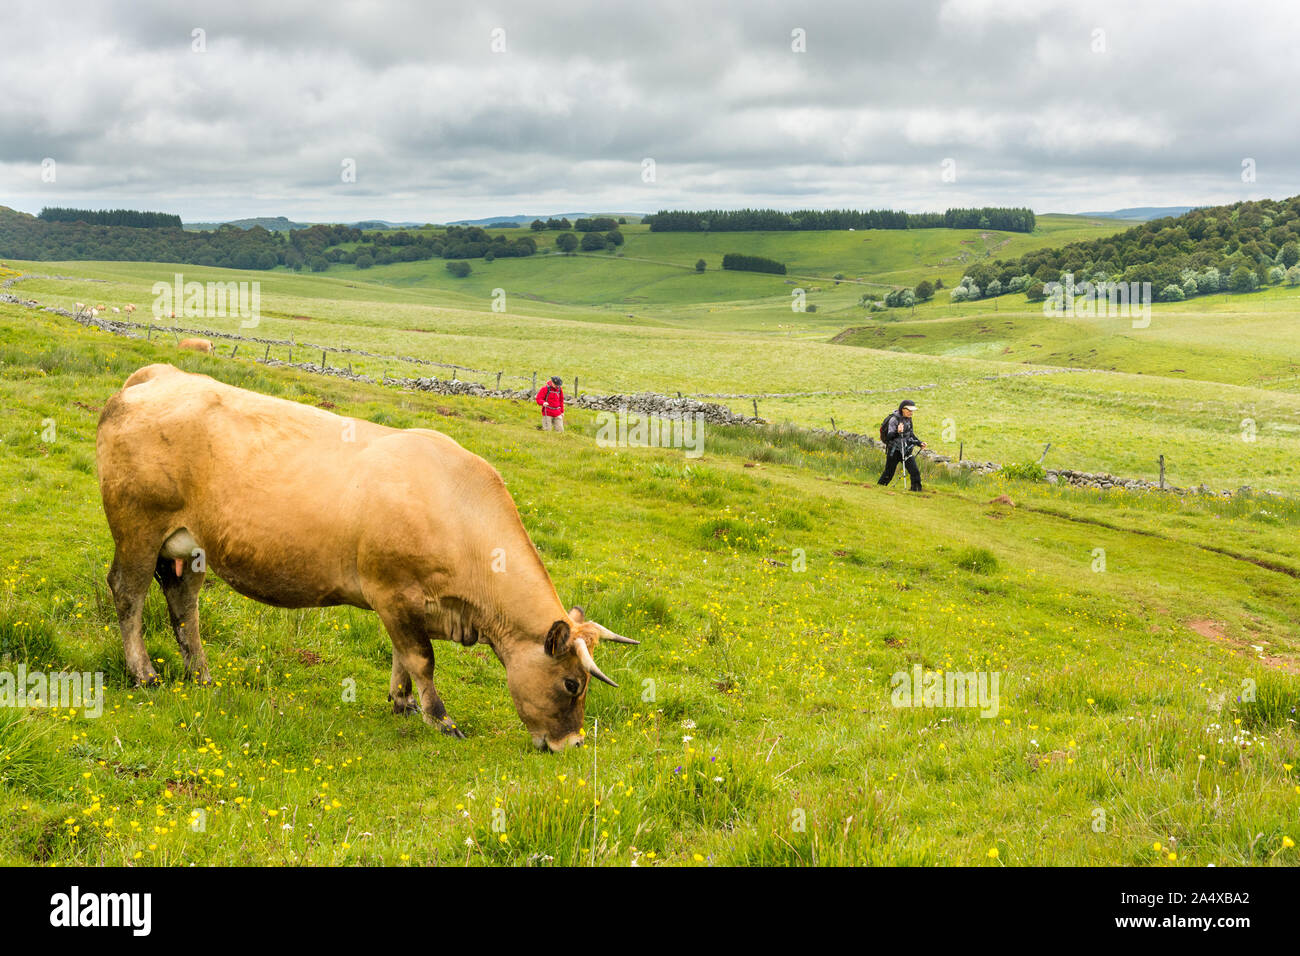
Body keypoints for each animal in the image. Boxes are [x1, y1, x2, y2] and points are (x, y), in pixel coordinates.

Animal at [95, 364, 637, 751]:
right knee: (129, 594)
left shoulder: (408, 605)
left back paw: (201, 675)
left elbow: (402, 654)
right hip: (138, 528)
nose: (573, 744)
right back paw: (144, 673)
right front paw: (440, 719)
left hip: (190, 547)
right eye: (571, 684)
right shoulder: (391, 591)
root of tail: (157, 376)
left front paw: (401, 702)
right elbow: (421, 658)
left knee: (183, 603)